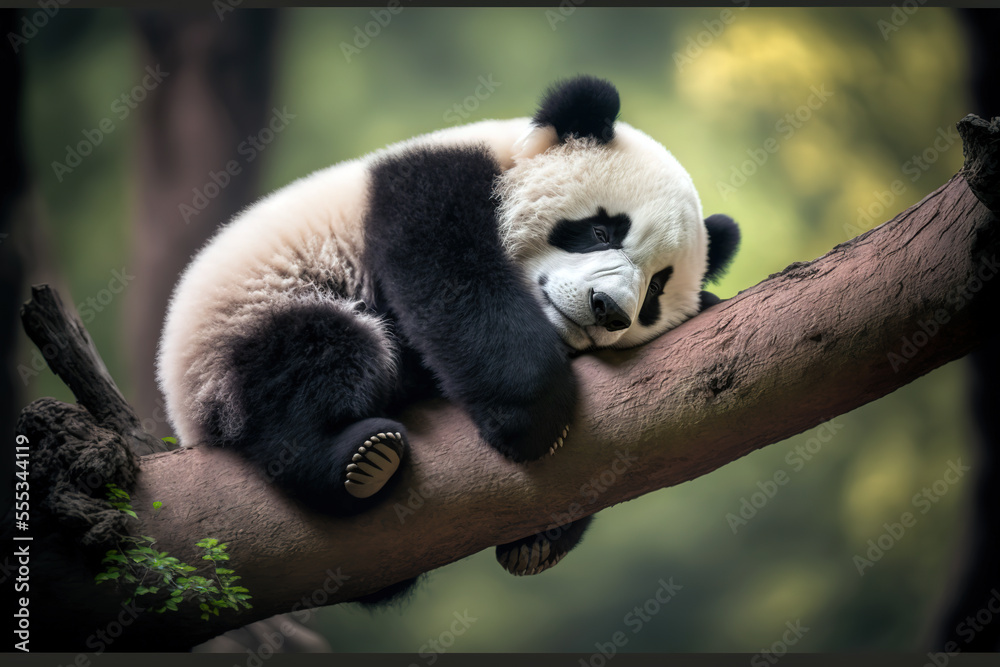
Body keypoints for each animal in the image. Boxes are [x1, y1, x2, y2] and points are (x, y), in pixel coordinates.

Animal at [157, 75, 740, 583]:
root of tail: (187, 419)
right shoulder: (430, 186)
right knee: (316, 360)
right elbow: (453, 281)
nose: (608, 310)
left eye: (657, 289)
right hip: (243, 325)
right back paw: (356, 461)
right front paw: (533, 416)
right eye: (602, 230)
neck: (503, 154)